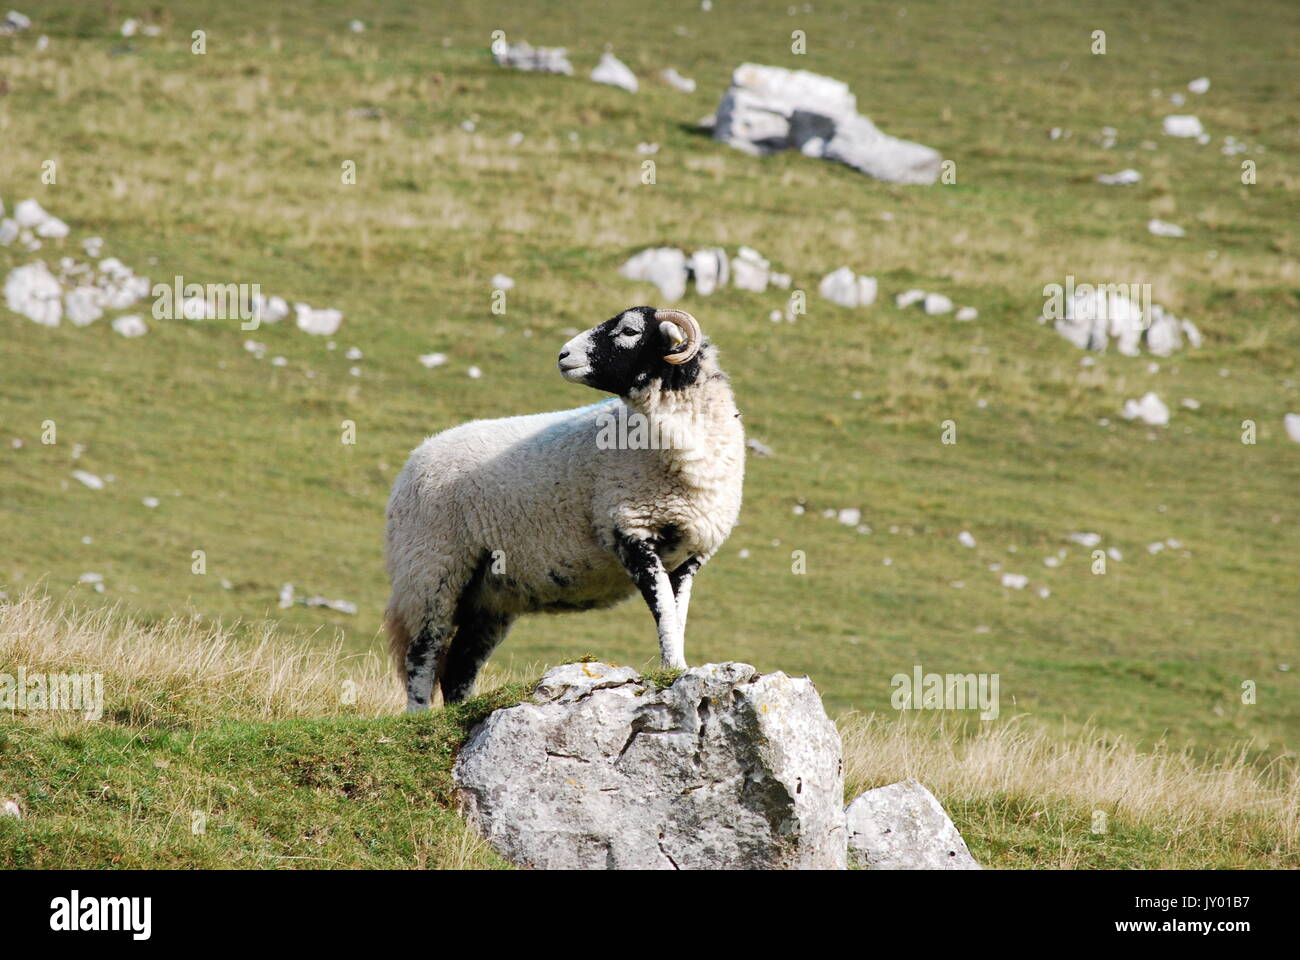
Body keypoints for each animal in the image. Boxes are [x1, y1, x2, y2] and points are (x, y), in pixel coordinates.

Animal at [385, 307, 745, 712]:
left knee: (460, 666)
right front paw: (675, 670)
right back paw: (417, 714)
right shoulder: (630, 531)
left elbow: (676, 614)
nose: (562, 355)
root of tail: (418, 456)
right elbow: (664, 611)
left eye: (629, 331)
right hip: (430, 568)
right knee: (423, 652)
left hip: (489, 594)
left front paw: (678, 664)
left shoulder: (688, 554)